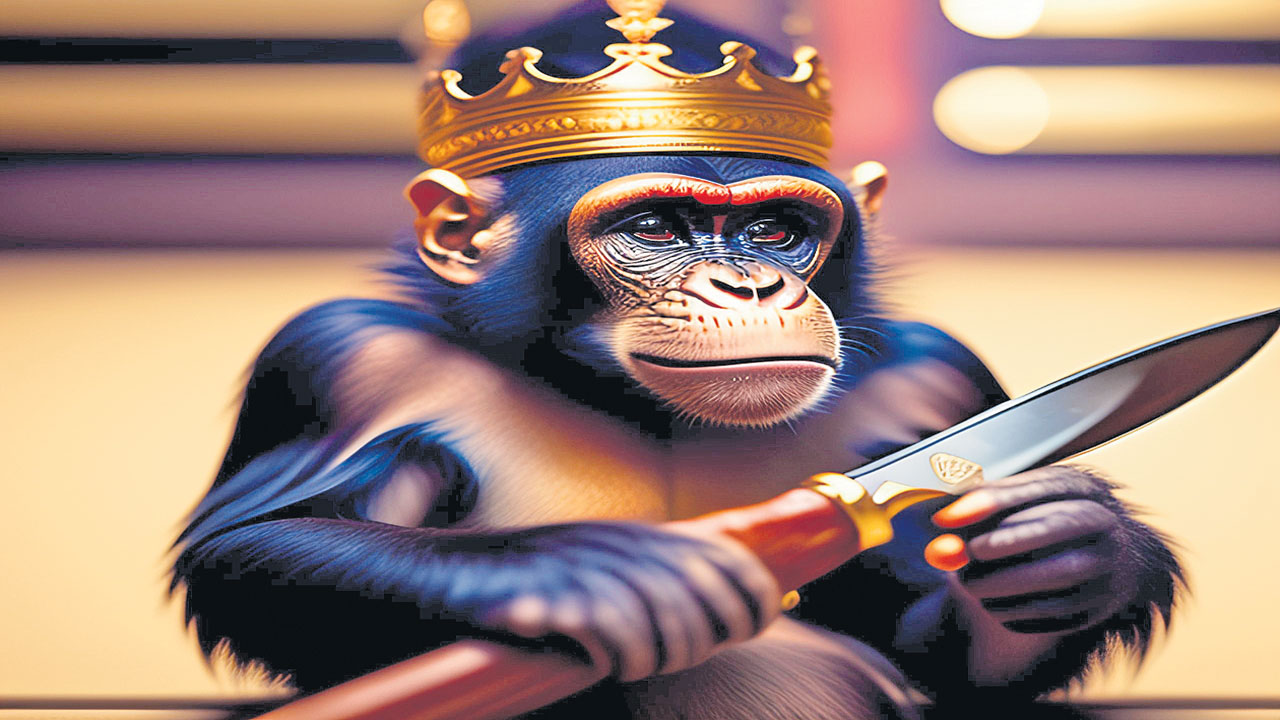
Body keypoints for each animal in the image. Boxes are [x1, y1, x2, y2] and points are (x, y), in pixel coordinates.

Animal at [171, 7, 1183, 719]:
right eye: (655, 227)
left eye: (775, 229)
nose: (751, 285)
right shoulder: (341, 360)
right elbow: (250, 544)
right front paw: (578, 570)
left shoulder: (945, 377)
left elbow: (950, 659)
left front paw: (1070, 546)